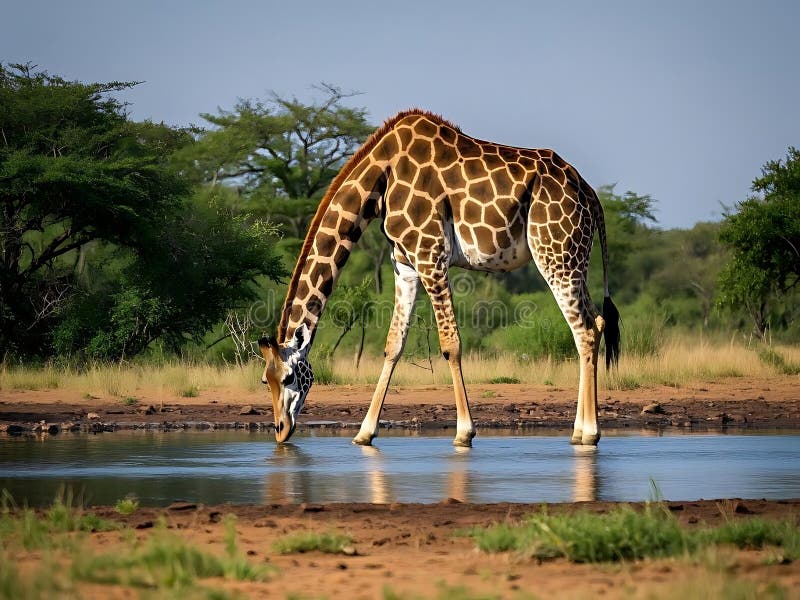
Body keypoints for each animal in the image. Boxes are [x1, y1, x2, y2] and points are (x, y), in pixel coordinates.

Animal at [259, 109, 620, 447]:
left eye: (288, 377)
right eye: (265, 381)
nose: (280, 431)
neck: (381, 177)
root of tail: (589, 194)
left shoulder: (430, 254)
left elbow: (451, 345)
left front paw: (464, 432)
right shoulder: (405, 266)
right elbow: (393, 345)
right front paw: (364, 433)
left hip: (554, 253)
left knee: (584, 330)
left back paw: (589, 433)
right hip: (573, 258)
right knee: (598, 322)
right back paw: (578, 431)